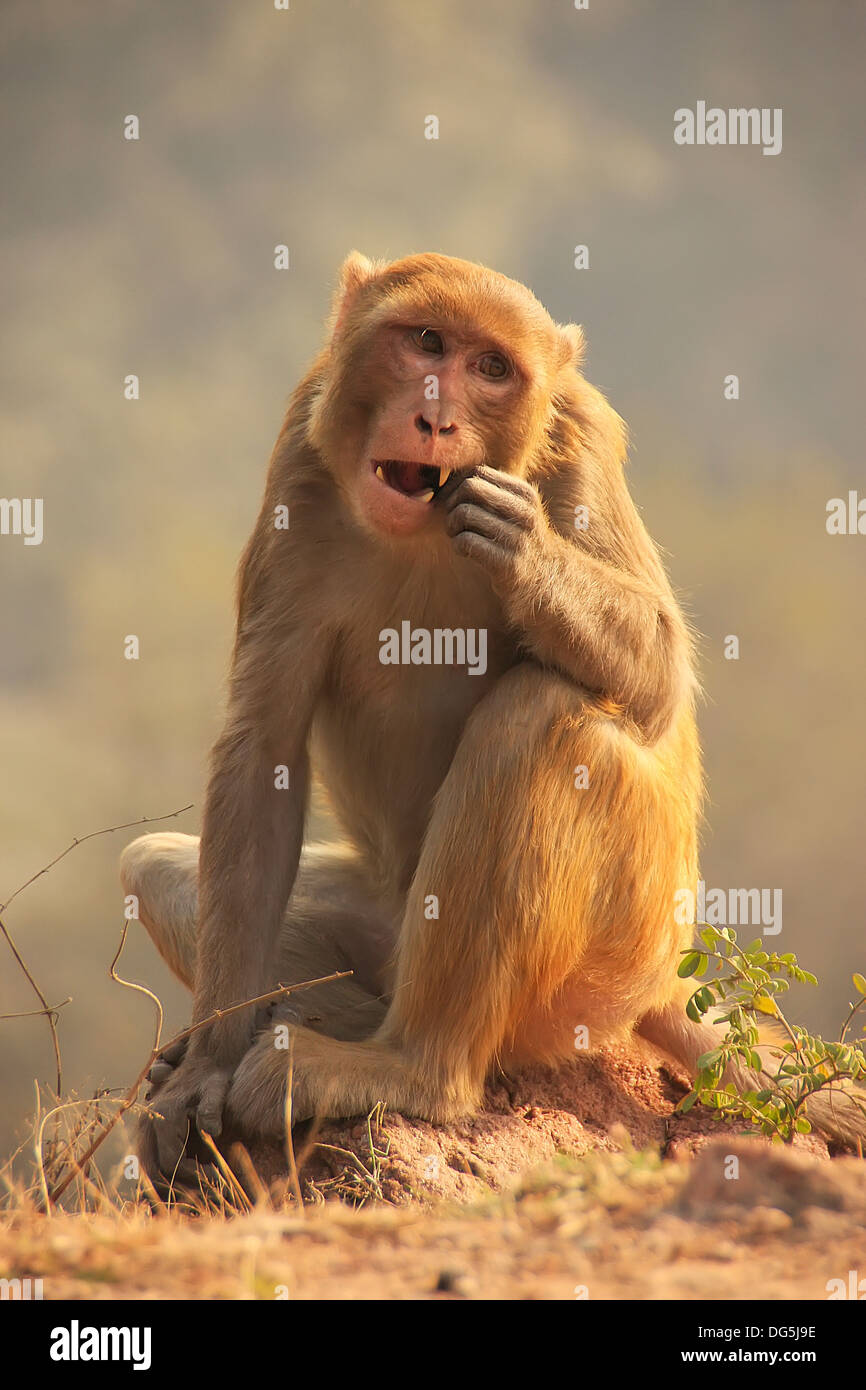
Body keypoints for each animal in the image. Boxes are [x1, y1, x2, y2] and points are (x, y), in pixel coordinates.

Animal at [122, 251, 864, 1185]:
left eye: (491, 369)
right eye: (426, 341)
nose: (436, 417)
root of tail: (663, 983)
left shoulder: (579, 434)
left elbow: (659, 674)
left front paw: (527, 553)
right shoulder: (300, 447)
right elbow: (263, 748)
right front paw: (208, 1066)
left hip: (605, 965)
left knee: (543, 714)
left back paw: (408, 1068)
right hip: (393, 926)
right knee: (154, 868)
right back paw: (298, 1035)